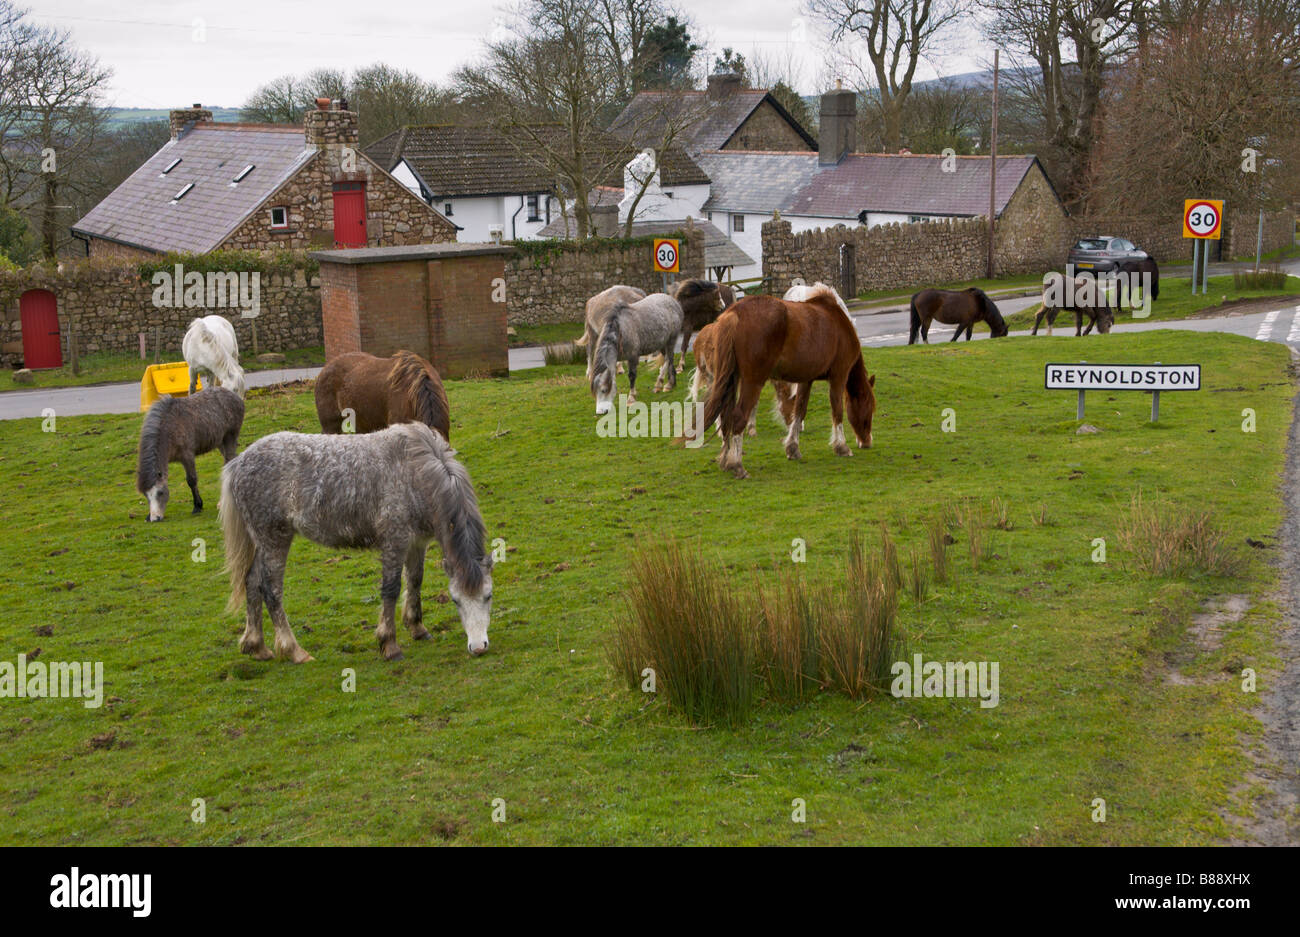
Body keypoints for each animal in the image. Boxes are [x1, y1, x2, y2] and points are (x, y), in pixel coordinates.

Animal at [136, 388, 244, 521]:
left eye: (160, 492)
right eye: (146, 495)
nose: (155, 518)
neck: (169, 428)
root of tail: (234, 396)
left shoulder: (187, 456)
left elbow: (191, 480)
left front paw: (197, 506)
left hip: (230, 437)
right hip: (220, 442)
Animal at [219, 422, 493, 663]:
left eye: (488, 596)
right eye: (455, 600)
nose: (479, 647)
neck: (414, 472)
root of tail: (238, 464)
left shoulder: (417, 542)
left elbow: (415, 580)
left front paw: (417, 628)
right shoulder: (394, 541)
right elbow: (391, 588)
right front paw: (389, 644)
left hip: (262, 542)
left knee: (252, 582)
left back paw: (257, 646)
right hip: (274, 539)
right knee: (271, 589)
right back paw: (294, 651)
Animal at [695, 282, 875, 479]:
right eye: (869, 409)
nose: (867, 442)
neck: (839, 322)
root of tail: (734, 313)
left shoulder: (806, 380)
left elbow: (799, 411)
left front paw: (793, 448)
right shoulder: (839, 376)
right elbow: (837, 411)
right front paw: (842, 447)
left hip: (731, 381)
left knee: (725, 417)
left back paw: (727, 460)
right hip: (752, 381)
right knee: (738, 417)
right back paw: (737, 465)